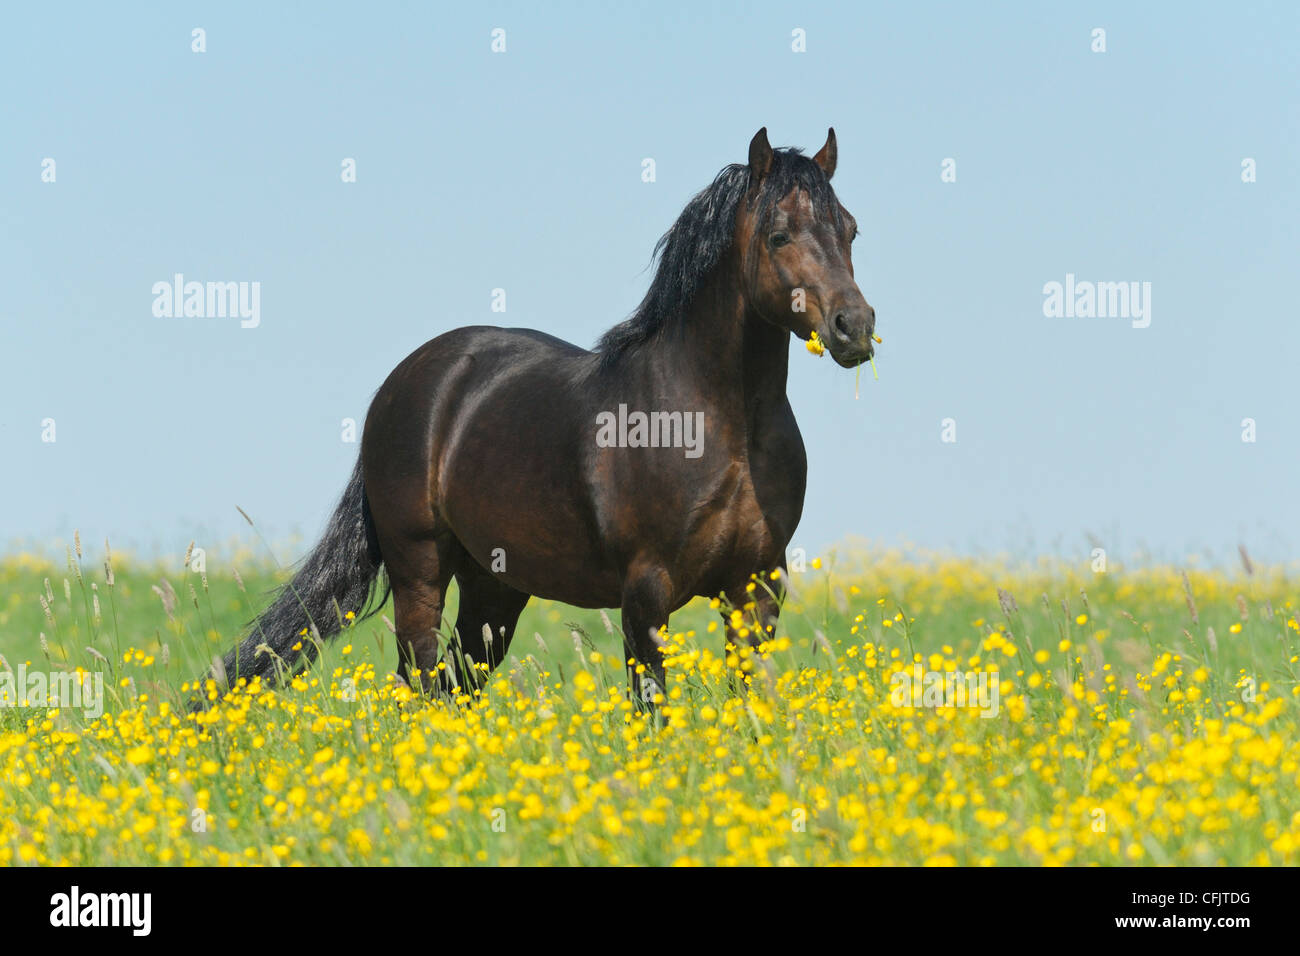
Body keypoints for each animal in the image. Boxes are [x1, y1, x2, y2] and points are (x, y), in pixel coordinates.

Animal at [213, 127, 876, 707]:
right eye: (779, 235)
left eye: (850, 229)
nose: (856, 327)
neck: (719, 425)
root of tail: (402, 384)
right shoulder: (646, 592)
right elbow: (651, 707)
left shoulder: (756, 588)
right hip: (420, 570)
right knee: (419, 679)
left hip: (495, 586)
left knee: (455, 682)